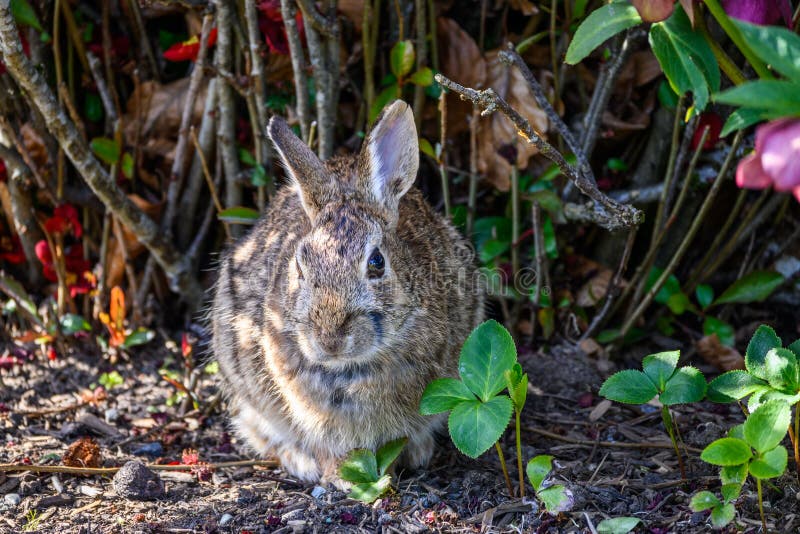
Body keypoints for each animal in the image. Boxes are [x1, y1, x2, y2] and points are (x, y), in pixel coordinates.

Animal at [211, 100, 484, 487]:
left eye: (376, 262)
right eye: (300, 265)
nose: (329, 340)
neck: (350, 366)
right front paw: (339, 476)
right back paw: (299, 460)